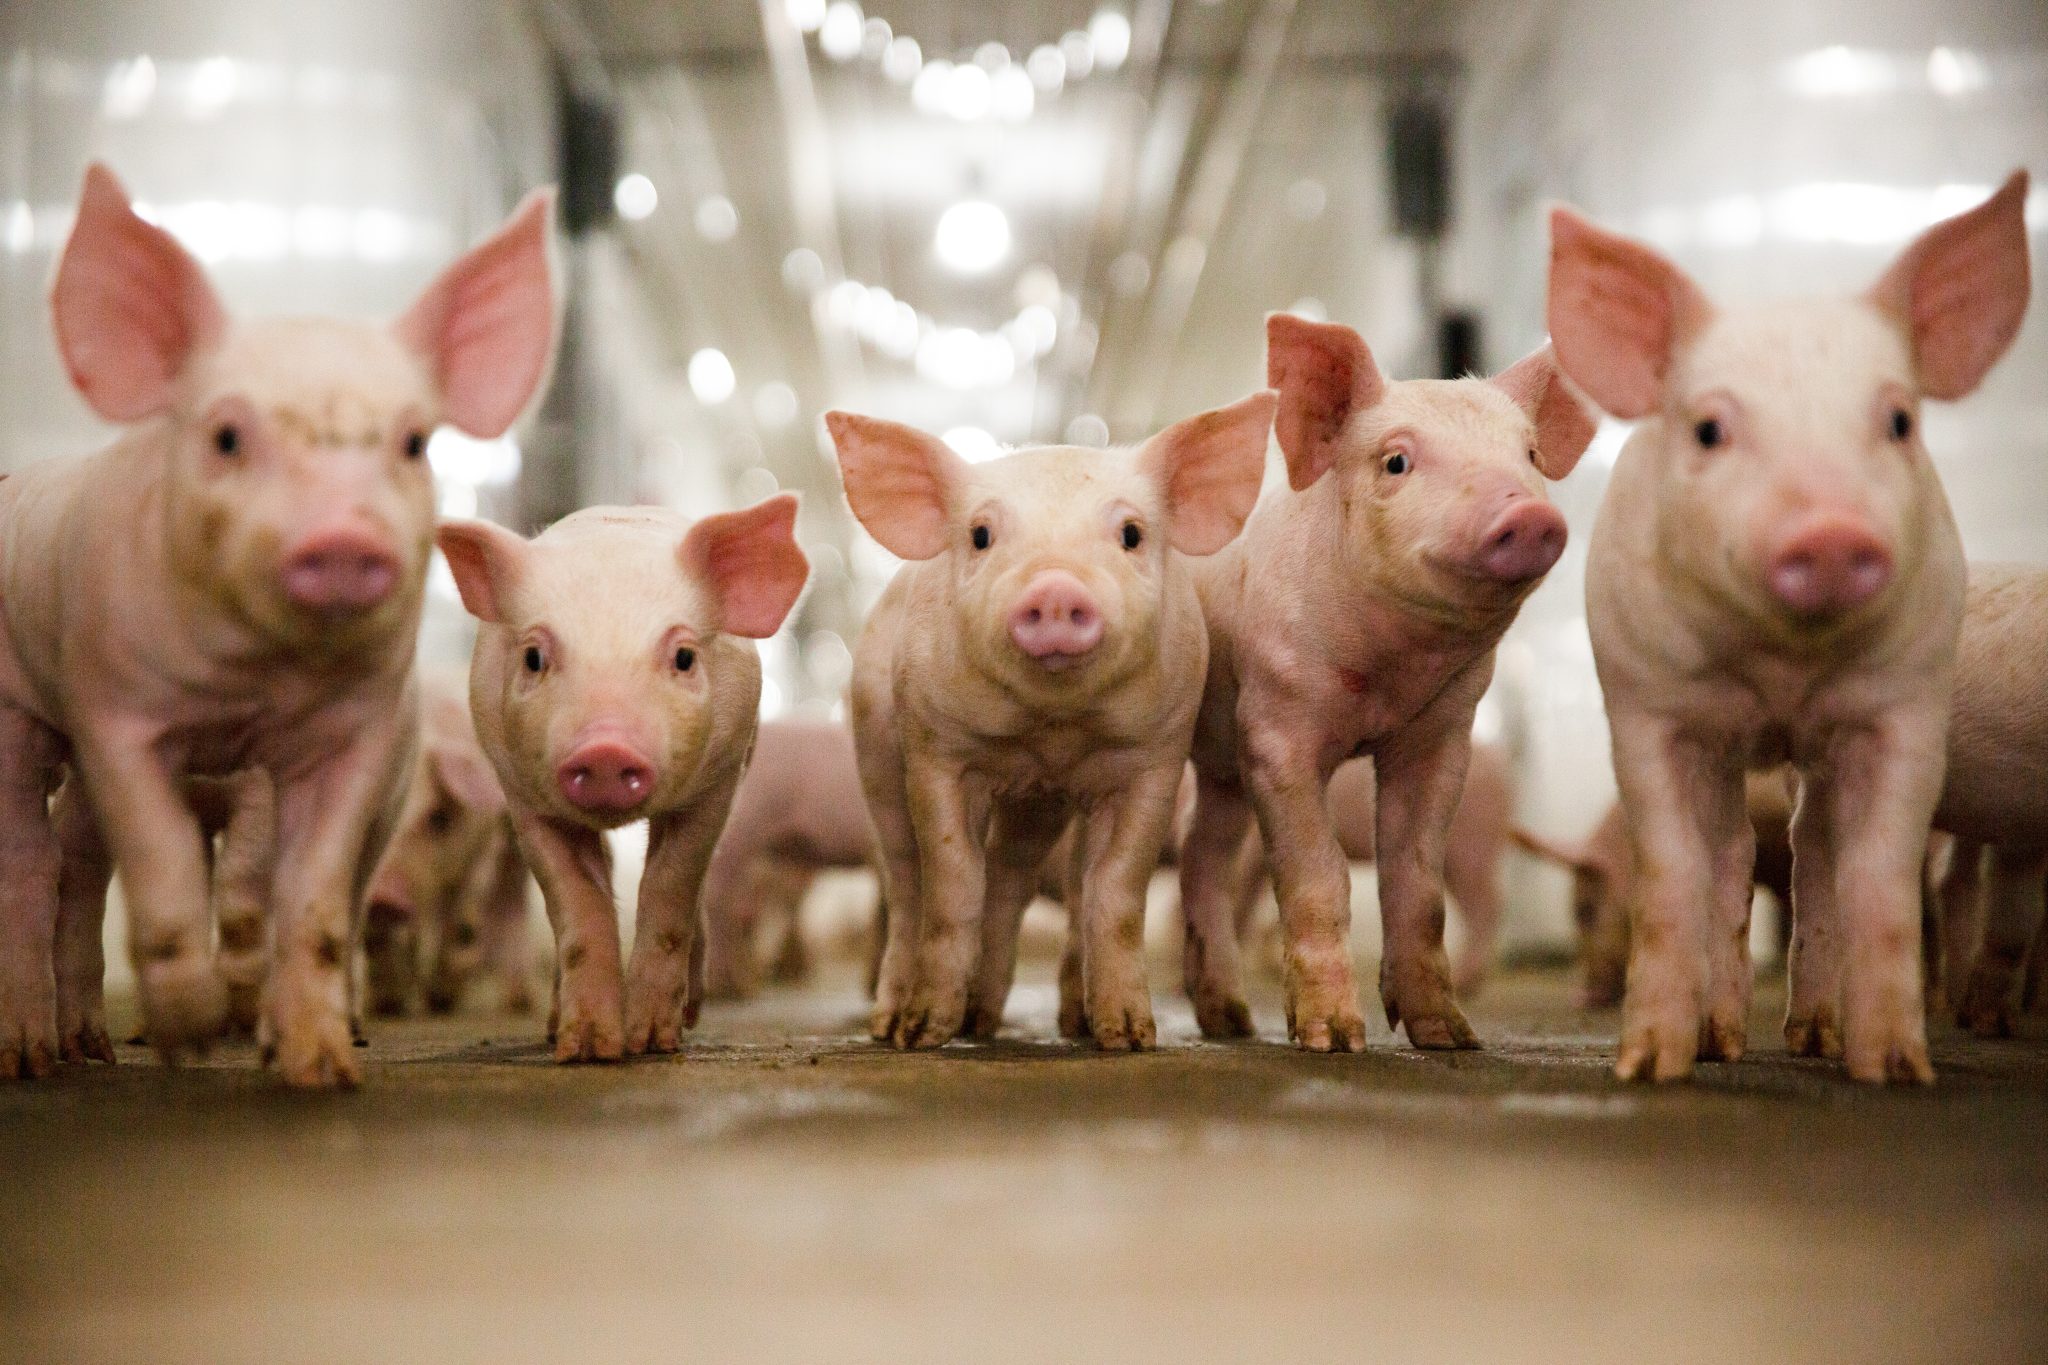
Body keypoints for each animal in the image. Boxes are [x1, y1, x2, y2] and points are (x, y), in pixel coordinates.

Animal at [360, 671, 535, 1017]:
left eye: (438, 818)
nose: (384, 896)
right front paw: (385, 1007)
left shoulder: (483, 843)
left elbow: (459, 916)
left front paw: (441, 1000)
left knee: (511, 895)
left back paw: (518, 1002)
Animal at [437, 496, 809, 1061]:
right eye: (533, 657)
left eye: (684, 657)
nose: (605, 748)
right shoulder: (523, 797)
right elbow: (577, 908)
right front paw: (588, 1050)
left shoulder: (717, 783)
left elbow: (671, 889)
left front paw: (652, 1043)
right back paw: (553, 1027)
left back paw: (691, 1016)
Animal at [832, 393, 1273, 1051]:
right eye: (981, 535)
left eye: (1131, 534)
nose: (1057, 588)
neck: (1051, 731)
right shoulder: (937, 753)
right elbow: (953, 884)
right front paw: (926, 1035)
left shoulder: (1154, 758)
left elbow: (1114, 890)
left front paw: (1130, 1038)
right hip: (876, 753)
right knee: (908, 883)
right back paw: (893, 1026)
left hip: (1038, 808)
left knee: (1011, 876)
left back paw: (994, 1021)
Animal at [1176, 315, 1595, 1052]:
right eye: (1396, 461)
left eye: (1531, 455)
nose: (1528, 514)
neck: (1387, 675)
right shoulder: (1273, 725)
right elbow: (1318, 876)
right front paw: (1332, 1039)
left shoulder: (1442, 732)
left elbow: (1418, 887)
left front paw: (1450, 1037)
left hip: (1230, 774)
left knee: (1204, 861)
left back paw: (1229, 1020)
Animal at [1548, 172, 2030, 1083]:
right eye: (1709, 429)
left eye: (1900, 421)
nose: (1832, 531)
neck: (1782, 674)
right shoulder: (1647, 706)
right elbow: (1673, 872)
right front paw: (1649, 1066)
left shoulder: (1905, 705)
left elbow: (1879, 878)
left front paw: (1897, 1070)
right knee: (1734, 853)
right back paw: (1722, 1041)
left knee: (1813, 854)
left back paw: (1811, 1037)